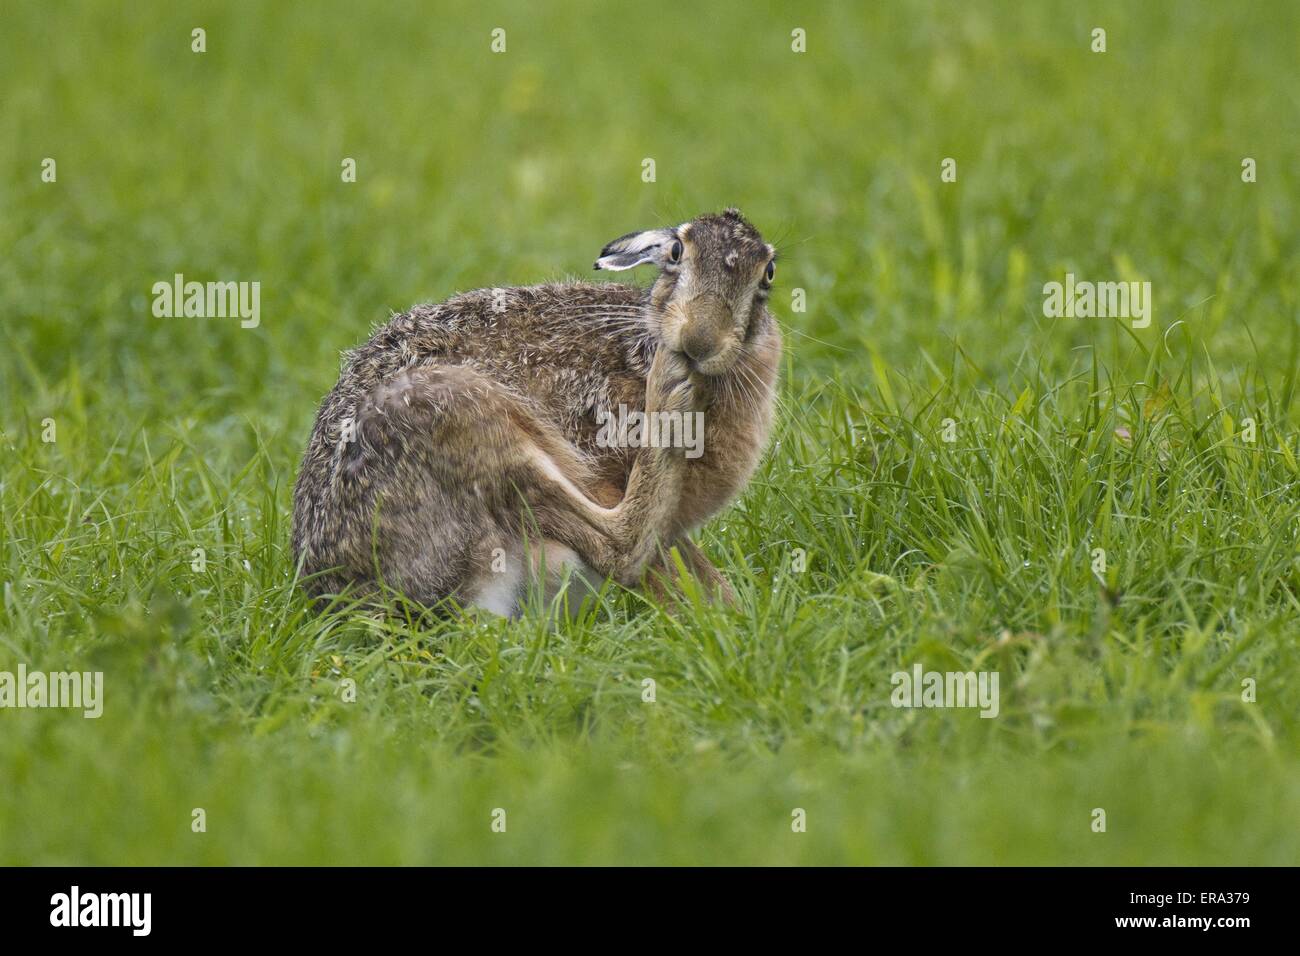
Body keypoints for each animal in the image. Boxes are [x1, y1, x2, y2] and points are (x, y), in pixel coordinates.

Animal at [290, 208, 782, 617]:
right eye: (677, 253)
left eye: (768, 274)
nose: (700, 339)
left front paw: (728, 613)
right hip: (451, 411)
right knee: (618, 548)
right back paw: (668, 390)